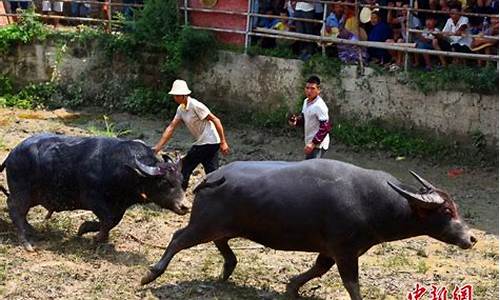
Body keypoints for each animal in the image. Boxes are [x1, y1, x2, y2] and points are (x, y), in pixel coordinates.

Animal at [0, 134, 188, 251]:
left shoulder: (120, 206)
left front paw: (85, 229)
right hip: (21, 194)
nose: (184, 206)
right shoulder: (93, 200)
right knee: (15, 210)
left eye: (181, 180)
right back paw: (27, 242)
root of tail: (11, 155)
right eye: (165, 182)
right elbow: (108, 219)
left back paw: (33, 230)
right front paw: (97, 237)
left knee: (21, 213)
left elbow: (113, 220)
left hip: (32, 196)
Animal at [141, 158, 476, 298]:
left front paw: (291, 287)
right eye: (446, 210)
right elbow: (351, 284)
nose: (471, 238)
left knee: (221, 244)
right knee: (178, 238)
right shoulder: (345, 250)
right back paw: (151, 274)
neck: (374, 202)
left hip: (221, 226)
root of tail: (211, 177)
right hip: (203, 224)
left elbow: (318, 269)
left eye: (455, 207)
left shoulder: (333, 250)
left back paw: (227, 270)